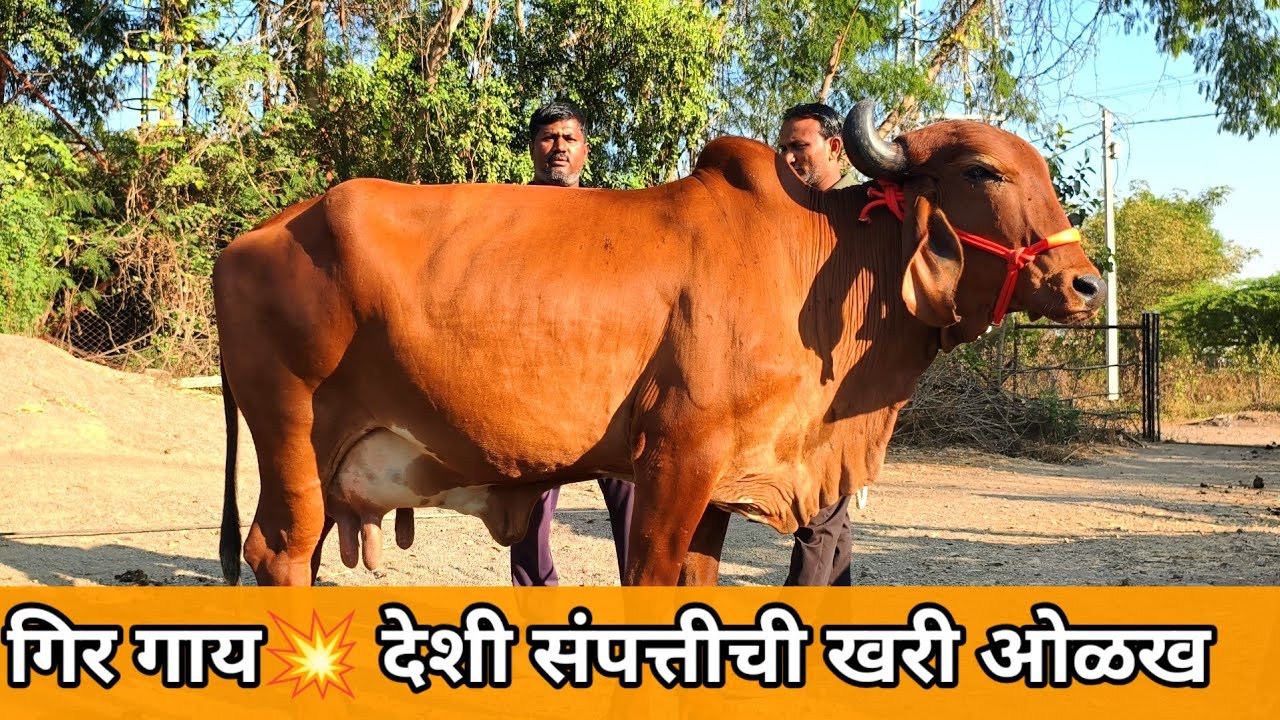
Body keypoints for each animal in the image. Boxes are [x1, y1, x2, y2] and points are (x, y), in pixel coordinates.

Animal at [213, 101, 1105, 587]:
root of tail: (248, 238)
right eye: (984, 172)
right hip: (293, 433)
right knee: (279, 552)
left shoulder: (723, 481)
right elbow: (649, 581)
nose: (1085, 284)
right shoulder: (678, 457)